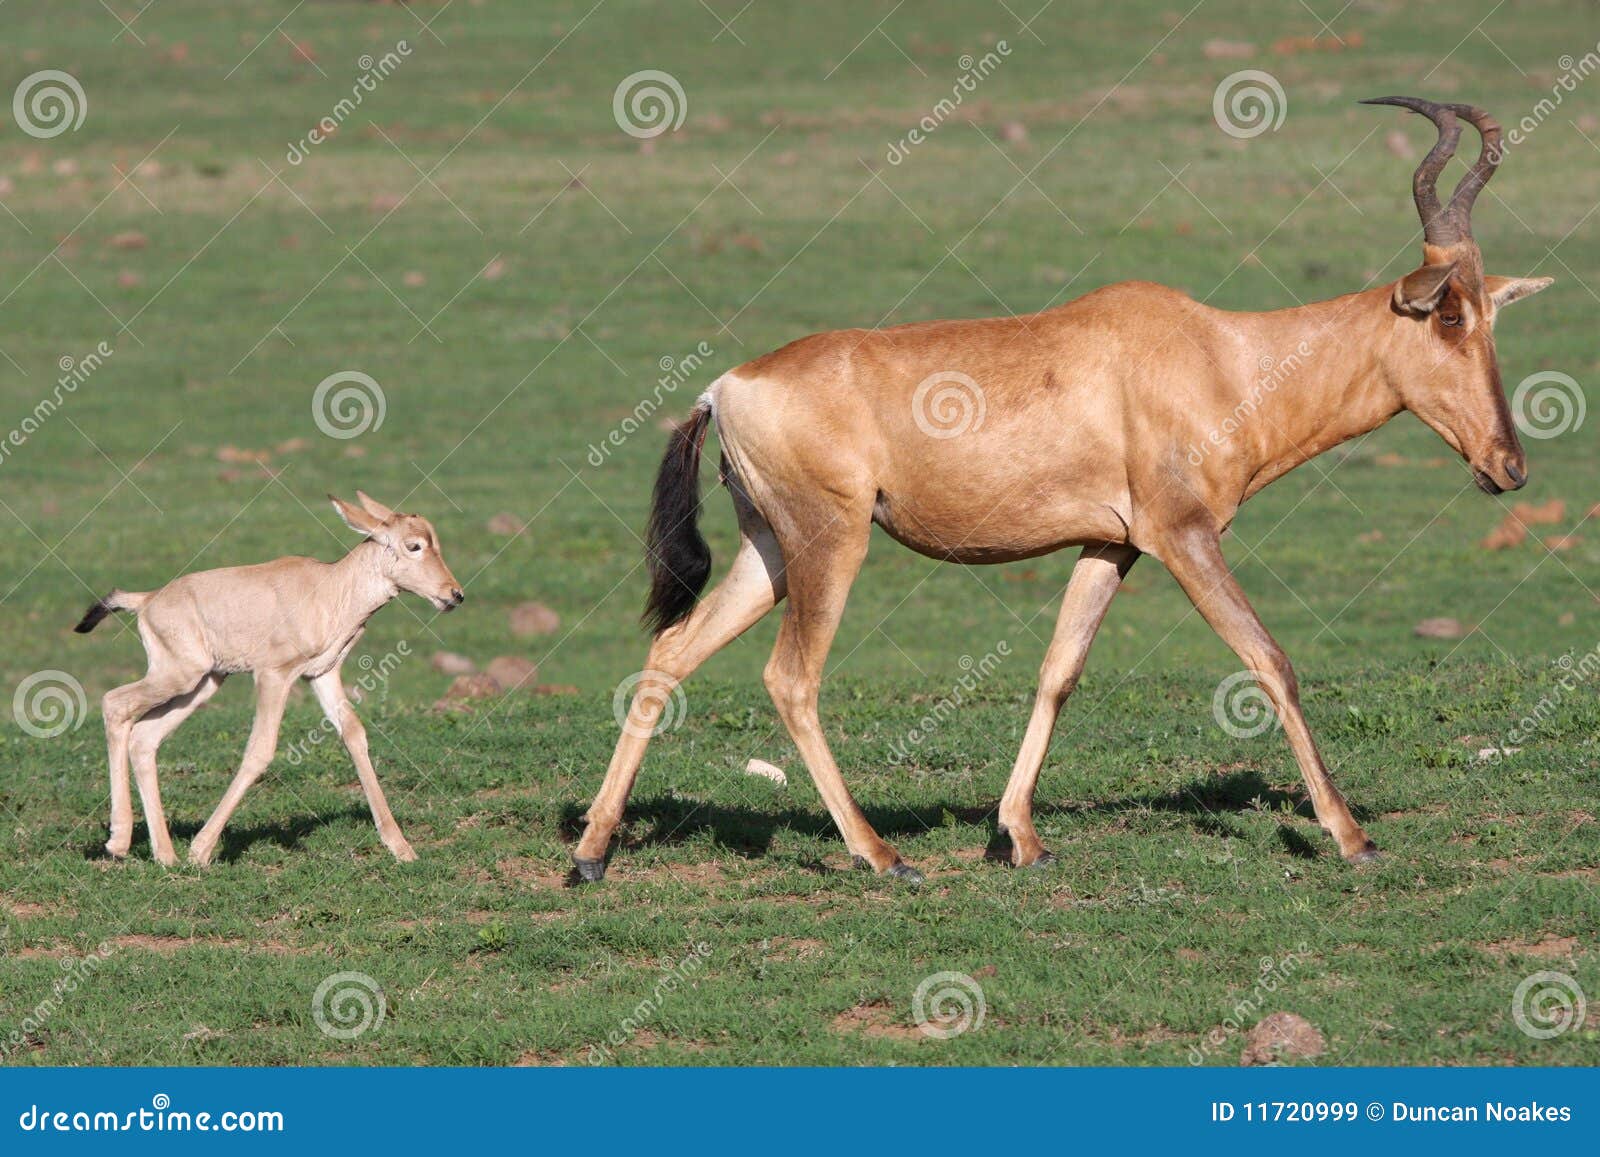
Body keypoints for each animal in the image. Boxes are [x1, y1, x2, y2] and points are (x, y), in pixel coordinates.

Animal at [75, 492, 464, 867]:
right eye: (414, 545)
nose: (454, 595)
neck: (329, 586)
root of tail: (148, 600)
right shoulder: (273, 676)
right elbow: (260, 750)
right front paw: (201, 851)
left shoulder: (322, 675)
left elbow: (354, 734)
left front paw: (402, 849)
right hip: (178, 676)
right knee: (114, 703)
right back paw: (119, 842)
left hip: (203, 684)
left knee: (144, 736)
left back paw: (165, 856)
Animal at [575, 96, 1553, 885]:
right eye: (1449, 312)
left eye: (1491, 313)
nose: (1507, 466)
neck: (1219, 353)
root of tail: (724, 387)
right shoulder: (1183, 536)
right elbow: (1270, 659)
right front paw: (1351, 836)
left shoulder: (1111, 544)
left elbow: (1058, 671)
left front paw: (1020, 837)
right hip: (830, 543)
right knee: (790, 678)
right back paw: (882, 856)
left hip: (769, 548)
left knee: (670, 651)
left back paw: (591, 852)